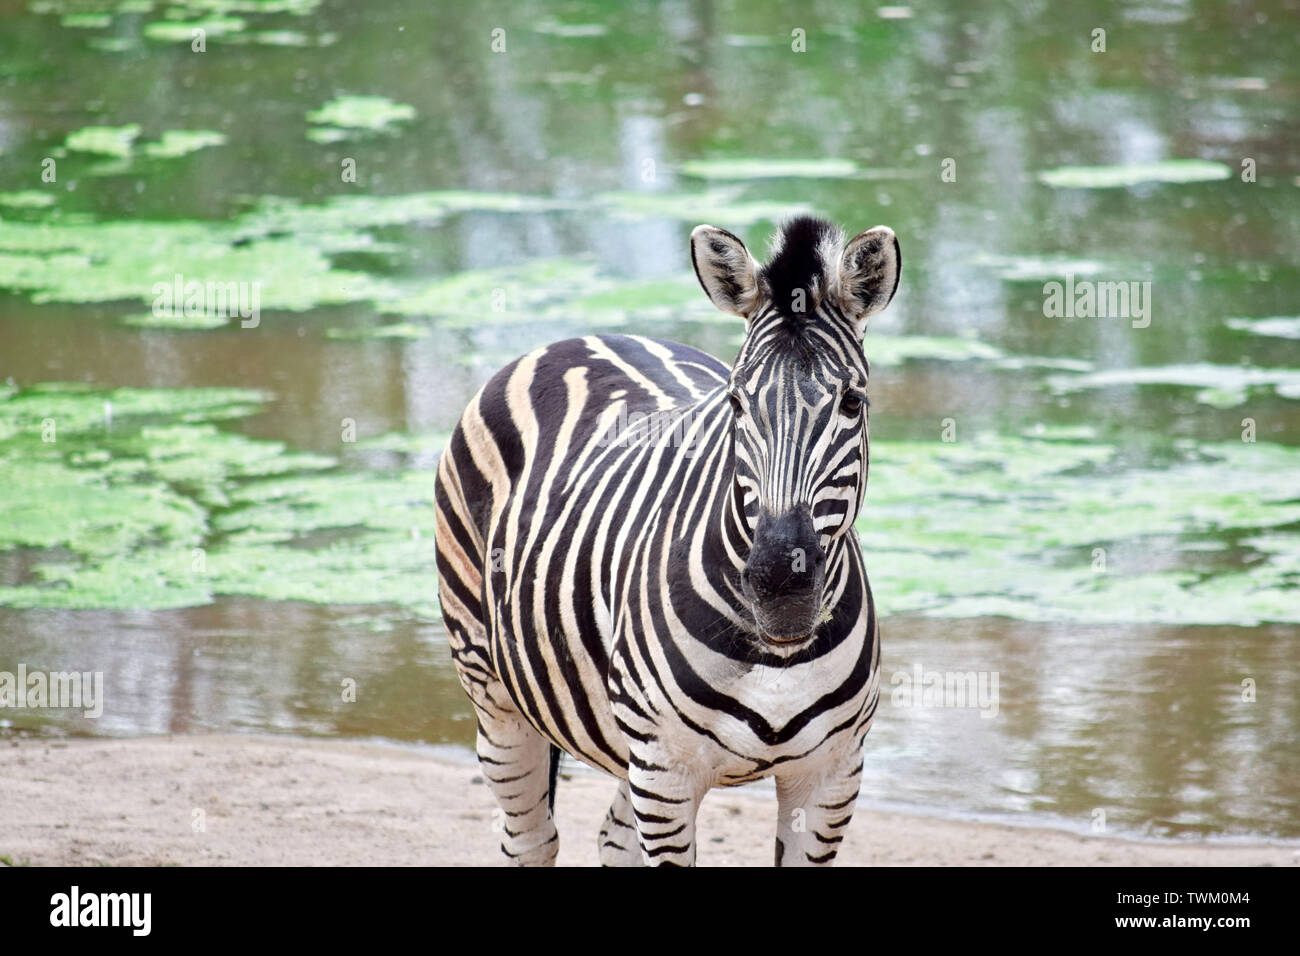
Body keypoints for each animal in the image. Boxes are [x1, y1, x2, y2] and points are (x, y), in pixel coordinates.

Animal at [434, 215, 900, 866]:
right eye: (735, 402)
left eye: (852, 402)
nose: (781, 586)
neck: (776, 655)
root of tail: (581, 337)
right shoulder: (665, 775)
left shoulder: (831, 777)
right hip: (493, 690)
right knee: (529, 838)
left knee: (613, 836)